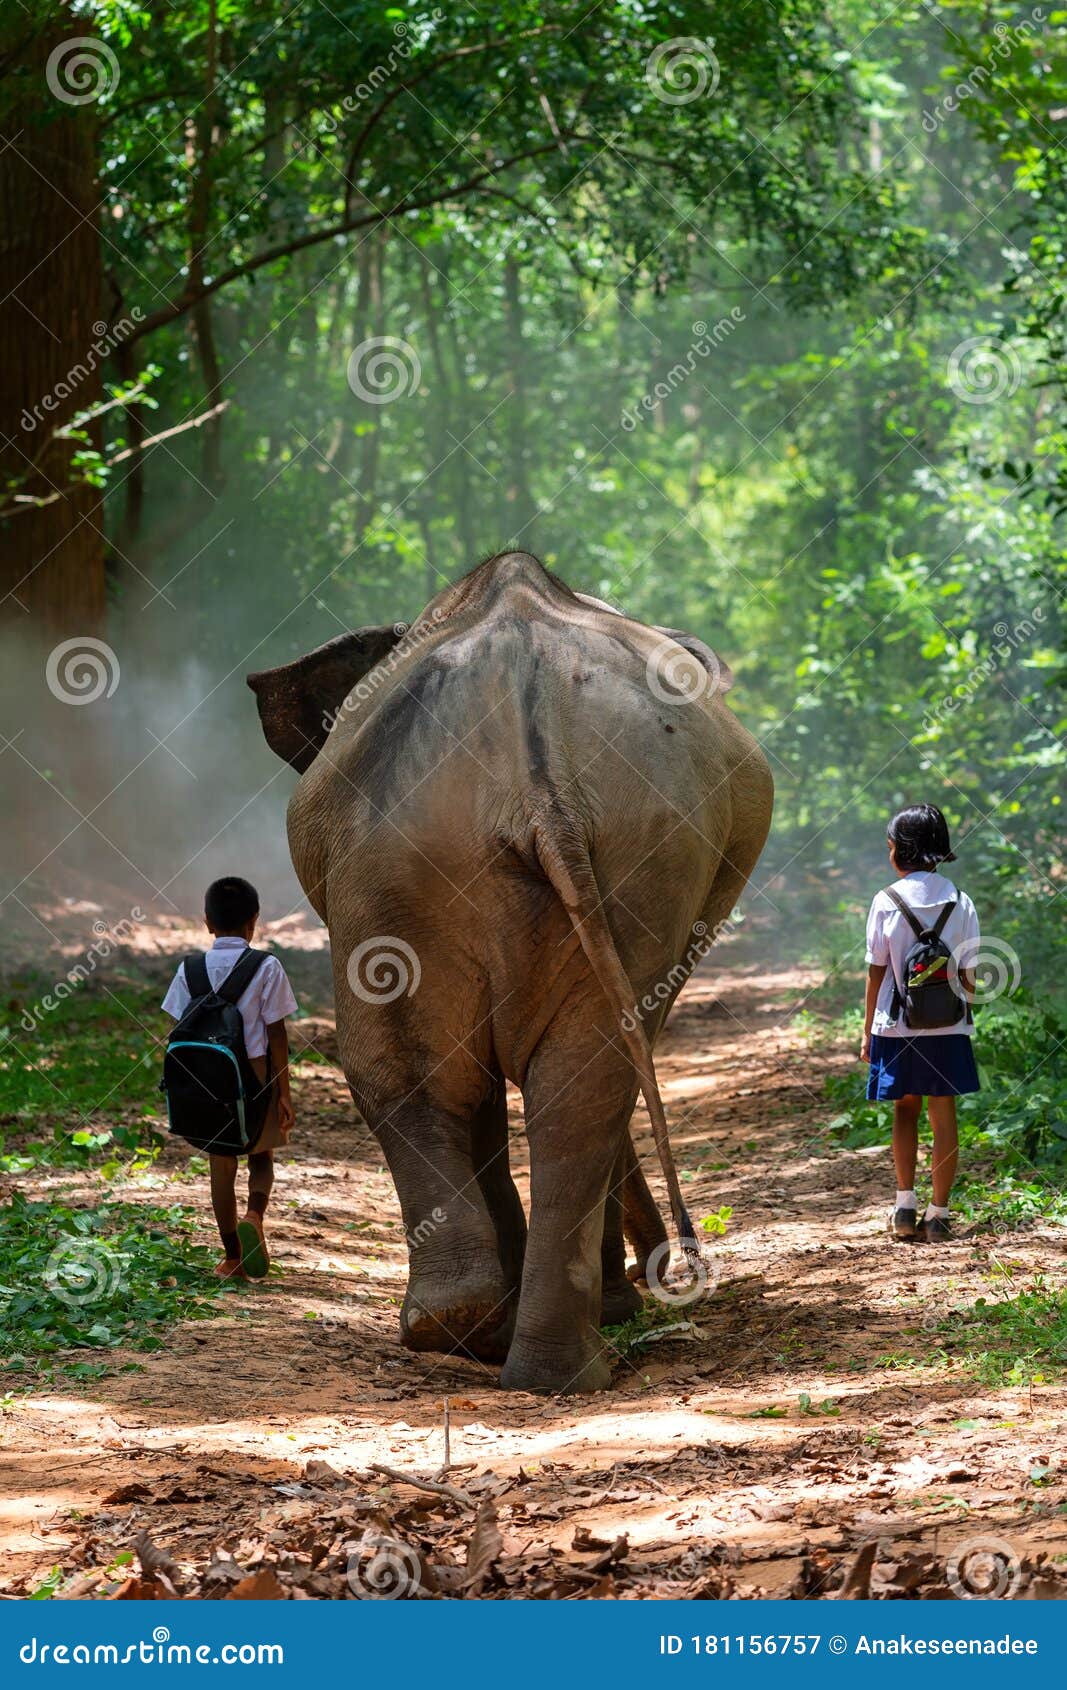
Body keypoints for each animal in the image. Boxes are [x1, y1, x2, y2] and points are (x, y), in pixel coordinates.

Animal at [248, 551, 773, 1394]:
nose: (658, 1267)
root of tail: (534, 767)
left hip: (440, 862)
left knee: (471, 1077)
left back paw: (499, 1341)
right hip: (463, 860)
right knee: (546, 1079)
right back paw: (535, 1350)